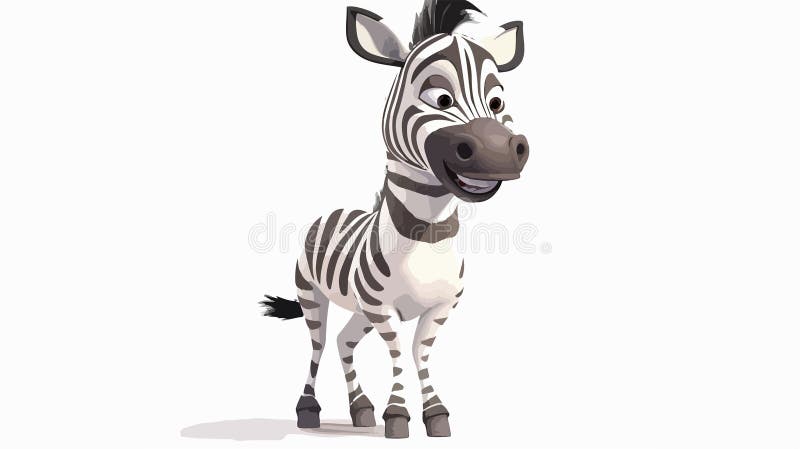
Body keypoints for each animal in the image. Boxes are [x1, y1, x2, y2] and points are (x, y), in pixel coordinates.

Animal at [260, 0, 529, 439]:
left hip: (357, 309)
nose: (500, 151)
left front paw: (434, 414)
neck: (427, 237)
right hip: (312, 295)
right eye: (439, 97)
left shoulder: (440, 307)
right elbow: (400, 353)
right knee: (318, 346)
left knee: (344, 342)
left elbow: (420, 354)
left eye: (497, 102)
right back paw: (309, 411)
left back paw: (360, 409)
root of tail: (330, 211)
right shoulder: (383, 309)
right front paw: (398, 416)